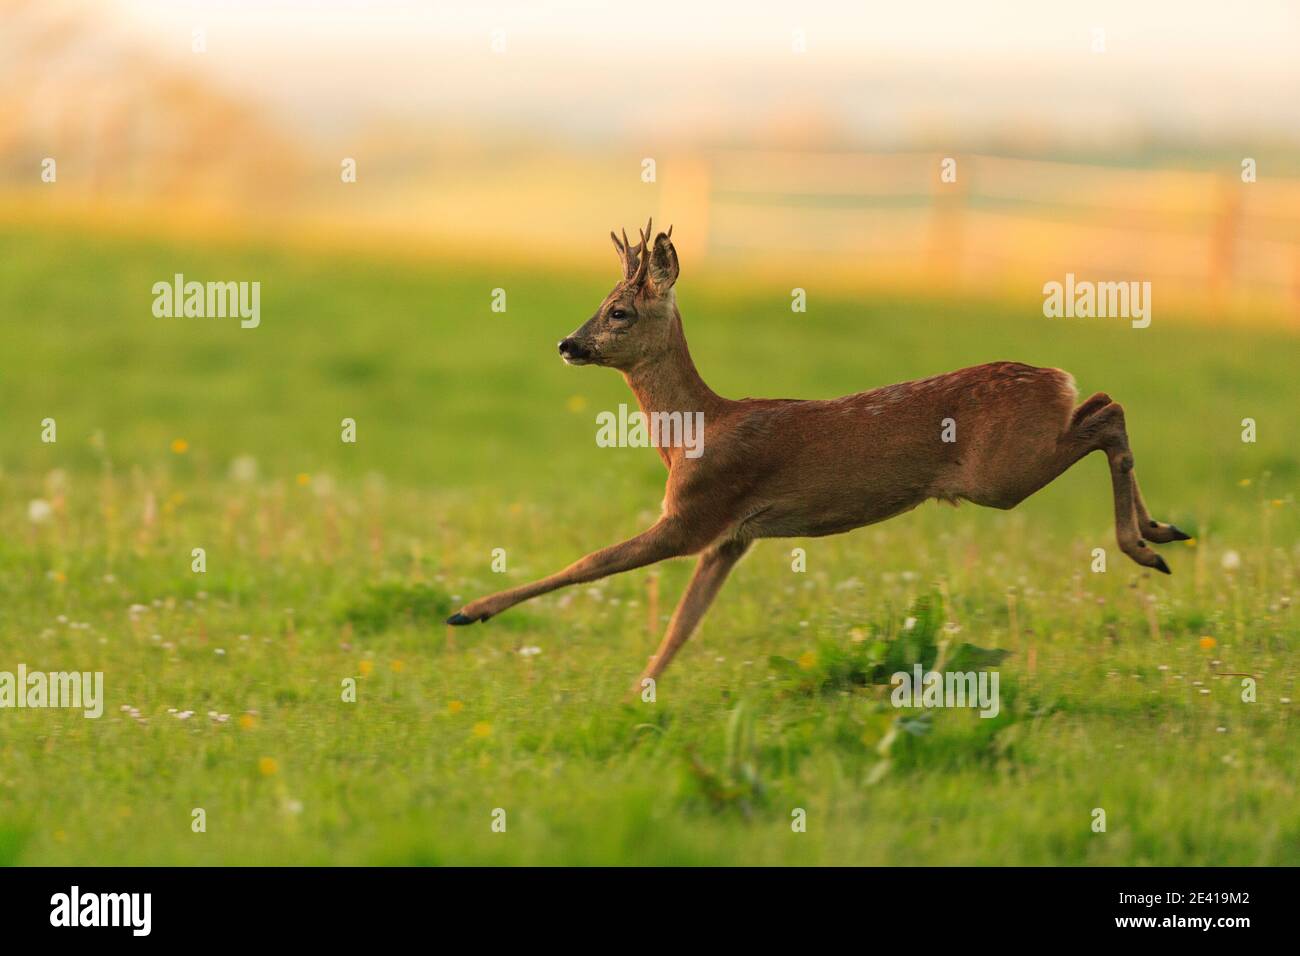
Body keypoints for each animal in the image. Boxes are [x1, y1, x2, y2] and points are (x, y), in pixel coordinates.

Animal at [446, 220, 1190, 691]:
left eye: (619, 311)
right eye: (599, 303)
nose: (568, 344)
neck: (693, 434)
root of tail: (1054, 376)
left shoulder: (695, 513)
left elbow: (591, 563)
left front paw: (469, 611)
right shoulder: (731, 537)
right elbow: (685, 623)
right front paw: (639, 694)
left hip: (1001, 472)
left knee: (1106, 416)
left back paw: (1144, 544)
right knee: (1106, 405)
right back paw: (1163, 532)